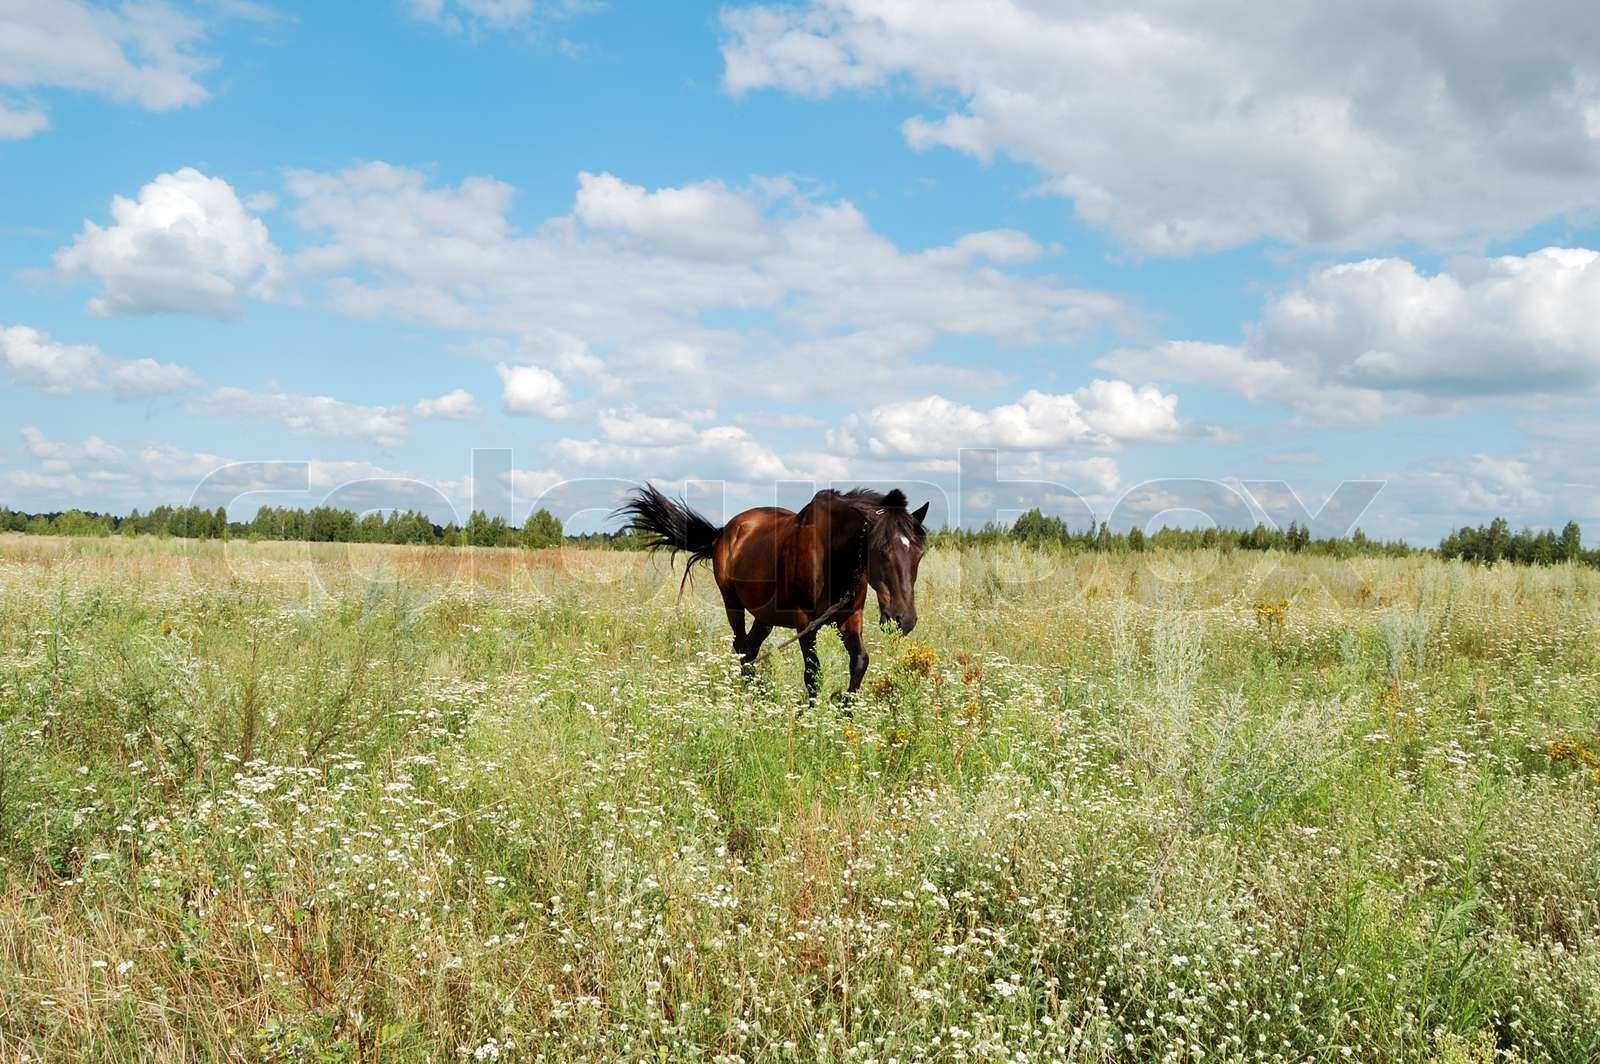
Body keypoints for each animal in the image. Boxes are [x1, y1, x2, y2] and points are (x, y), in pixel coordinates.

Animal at [616, 485, 930, 699]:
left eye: (919, 553)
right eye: (881, 551)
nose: (904, 619)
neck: (831, 555)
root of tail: (724, 532)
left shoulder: (849, 617)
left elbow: (860, 662)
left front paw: (844, 708)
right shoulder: (805, 622)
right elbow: (812, 671)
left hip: (765, 615)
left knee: (751, 649)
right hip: (732, 603)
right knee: (742, 648)